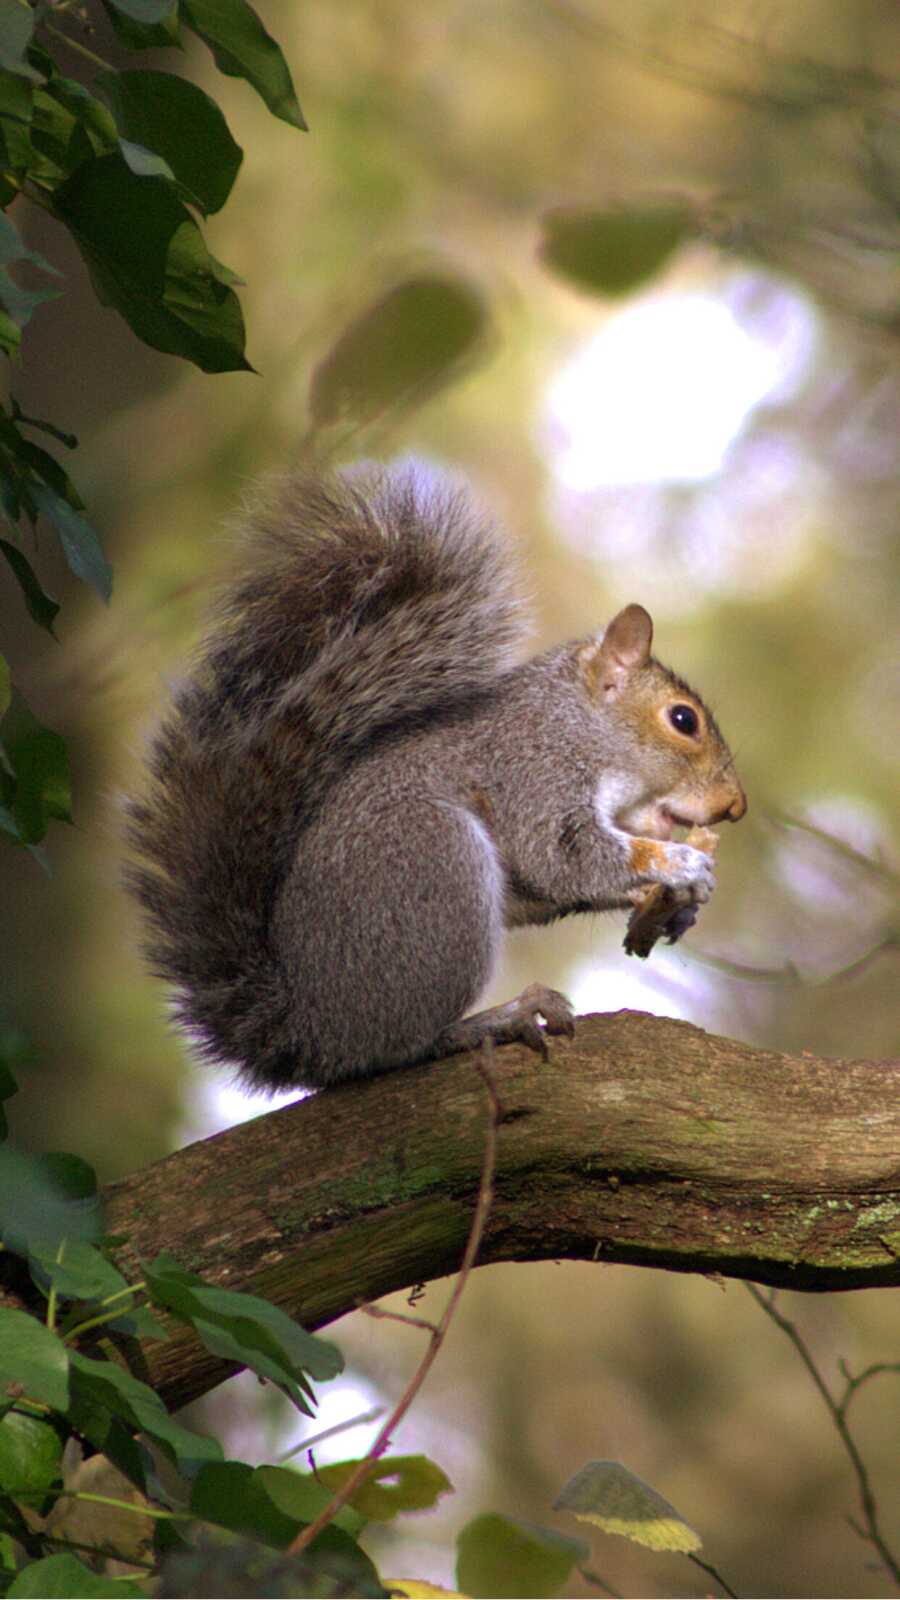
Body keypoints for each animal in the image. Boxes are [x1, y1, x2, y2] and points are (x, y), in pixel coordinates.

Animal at [125, 464, 746, 1094]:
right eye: (683, 720)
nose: (734, 806)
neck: (574, 723)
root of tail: (309, 1032)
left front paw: (677, 903)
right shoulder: (530, 771)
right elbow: (562, 858)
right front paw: (678, 863)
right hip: (432, 861)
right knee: (398, 1047)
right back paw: (491, 1021)